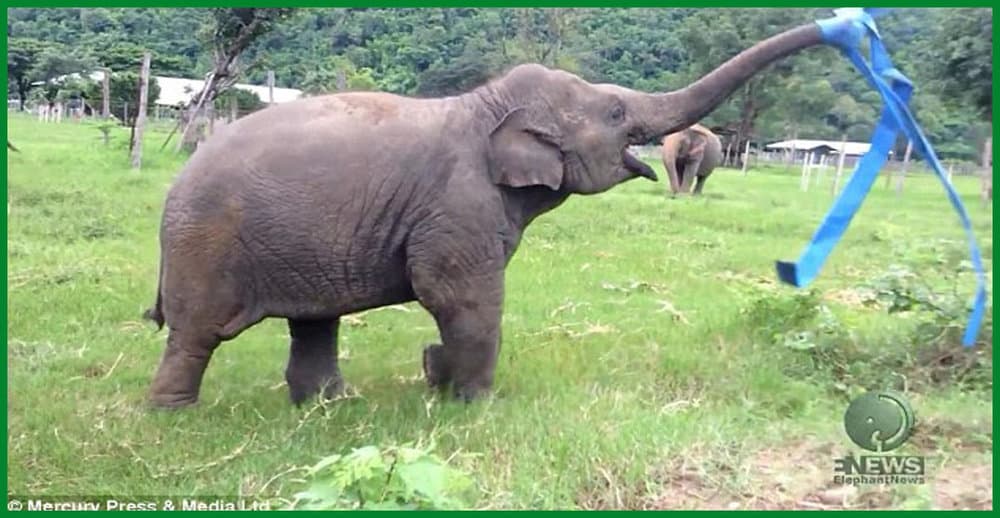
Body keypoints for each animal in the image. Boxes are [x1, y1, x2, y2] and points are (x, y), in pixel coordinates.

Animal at [143, 21, 831, 408]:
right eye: (613, 112)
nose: (842, 29)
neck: (484, 104)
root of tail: (177, 181)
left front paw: (434, 375)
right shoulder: (457, 205)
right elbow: (457, 296)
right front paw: (471, 403)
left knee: (315, 322)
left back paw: (332, 407)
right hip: (208, 240)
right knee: (197, 334)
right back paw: (173, 414)